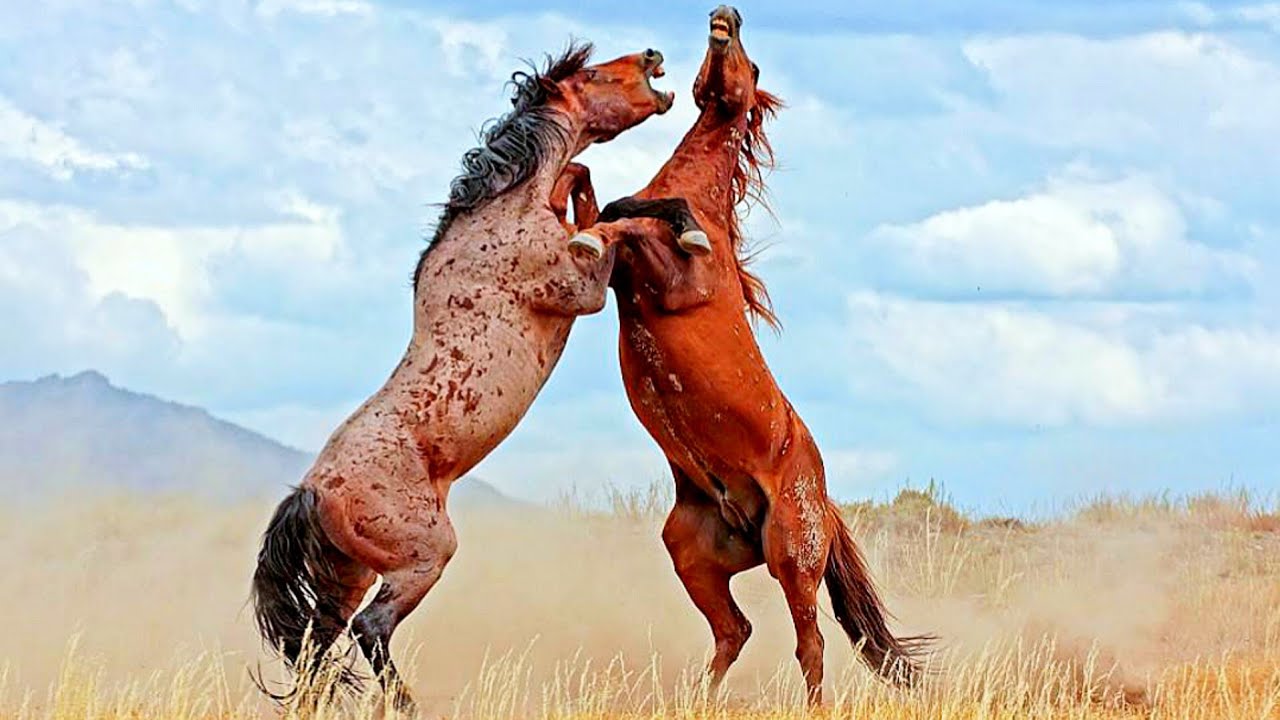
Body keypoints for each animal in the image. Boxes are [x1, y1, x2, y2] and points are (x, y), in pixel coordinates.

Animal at [251, 42, 676, 712]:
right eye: (592, 73)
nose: (653, 56)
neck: (498, 218)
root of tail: (313, 490)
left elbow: (584, 184)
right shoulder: (580, 291)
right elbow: (604, 226)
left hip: (349, 573)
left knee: (320, 644)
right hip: (423, 555)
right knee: (370, 628)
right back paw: (407, 705)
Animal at [568, 7, 931, 704]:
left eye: (752, 63)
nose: (726, 15)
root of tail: (821, 499)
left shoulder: (672, 283)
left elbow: (638, 213)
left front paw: (676, 229)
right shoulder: (625, 274)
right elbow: (600, 200)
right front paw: (583, 224)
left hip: (793, 558)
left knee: (809, 644)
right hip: (692, 555)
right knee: (734, 630)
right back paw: (696, 701)